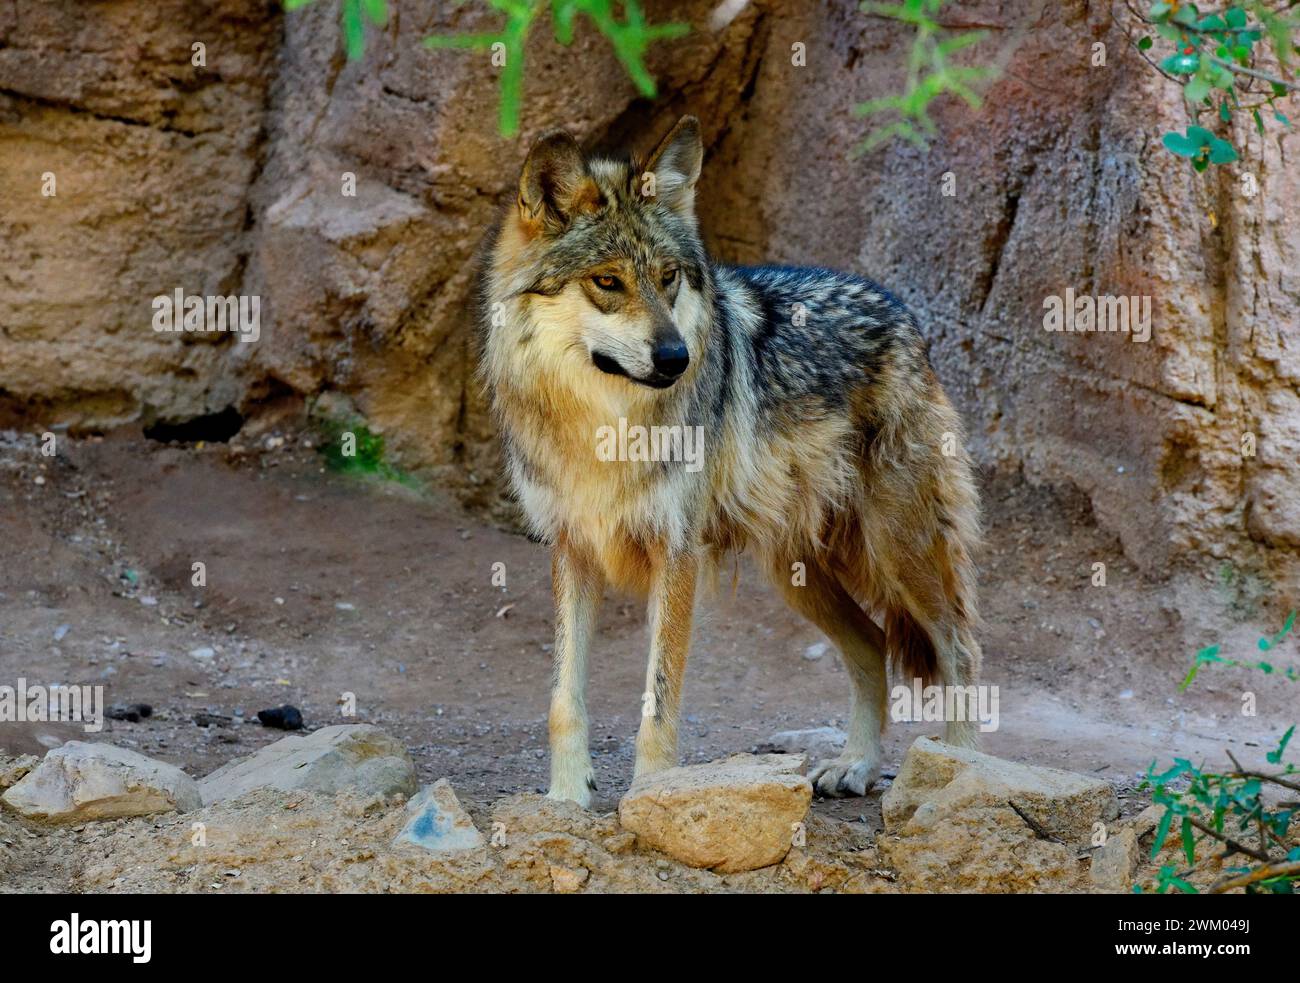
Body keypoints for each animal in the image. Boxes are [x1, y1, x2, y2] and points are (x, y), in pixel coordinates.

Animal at [478, 116, 982, 807]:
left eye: (668, 277)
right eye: (607, 282)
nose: (675, 357)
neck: (603, 426)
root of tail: (903, 313)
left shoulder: (678, 553)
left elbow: (660, 699)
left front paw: (653, 795)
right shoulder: (572, 547)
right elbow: (563, 698)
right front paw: (564, 800)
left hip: (897, 551)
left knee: (959, 649)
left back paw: (959, 774)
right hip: (796, 572)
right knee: (874, 643)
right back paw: (855, 764)